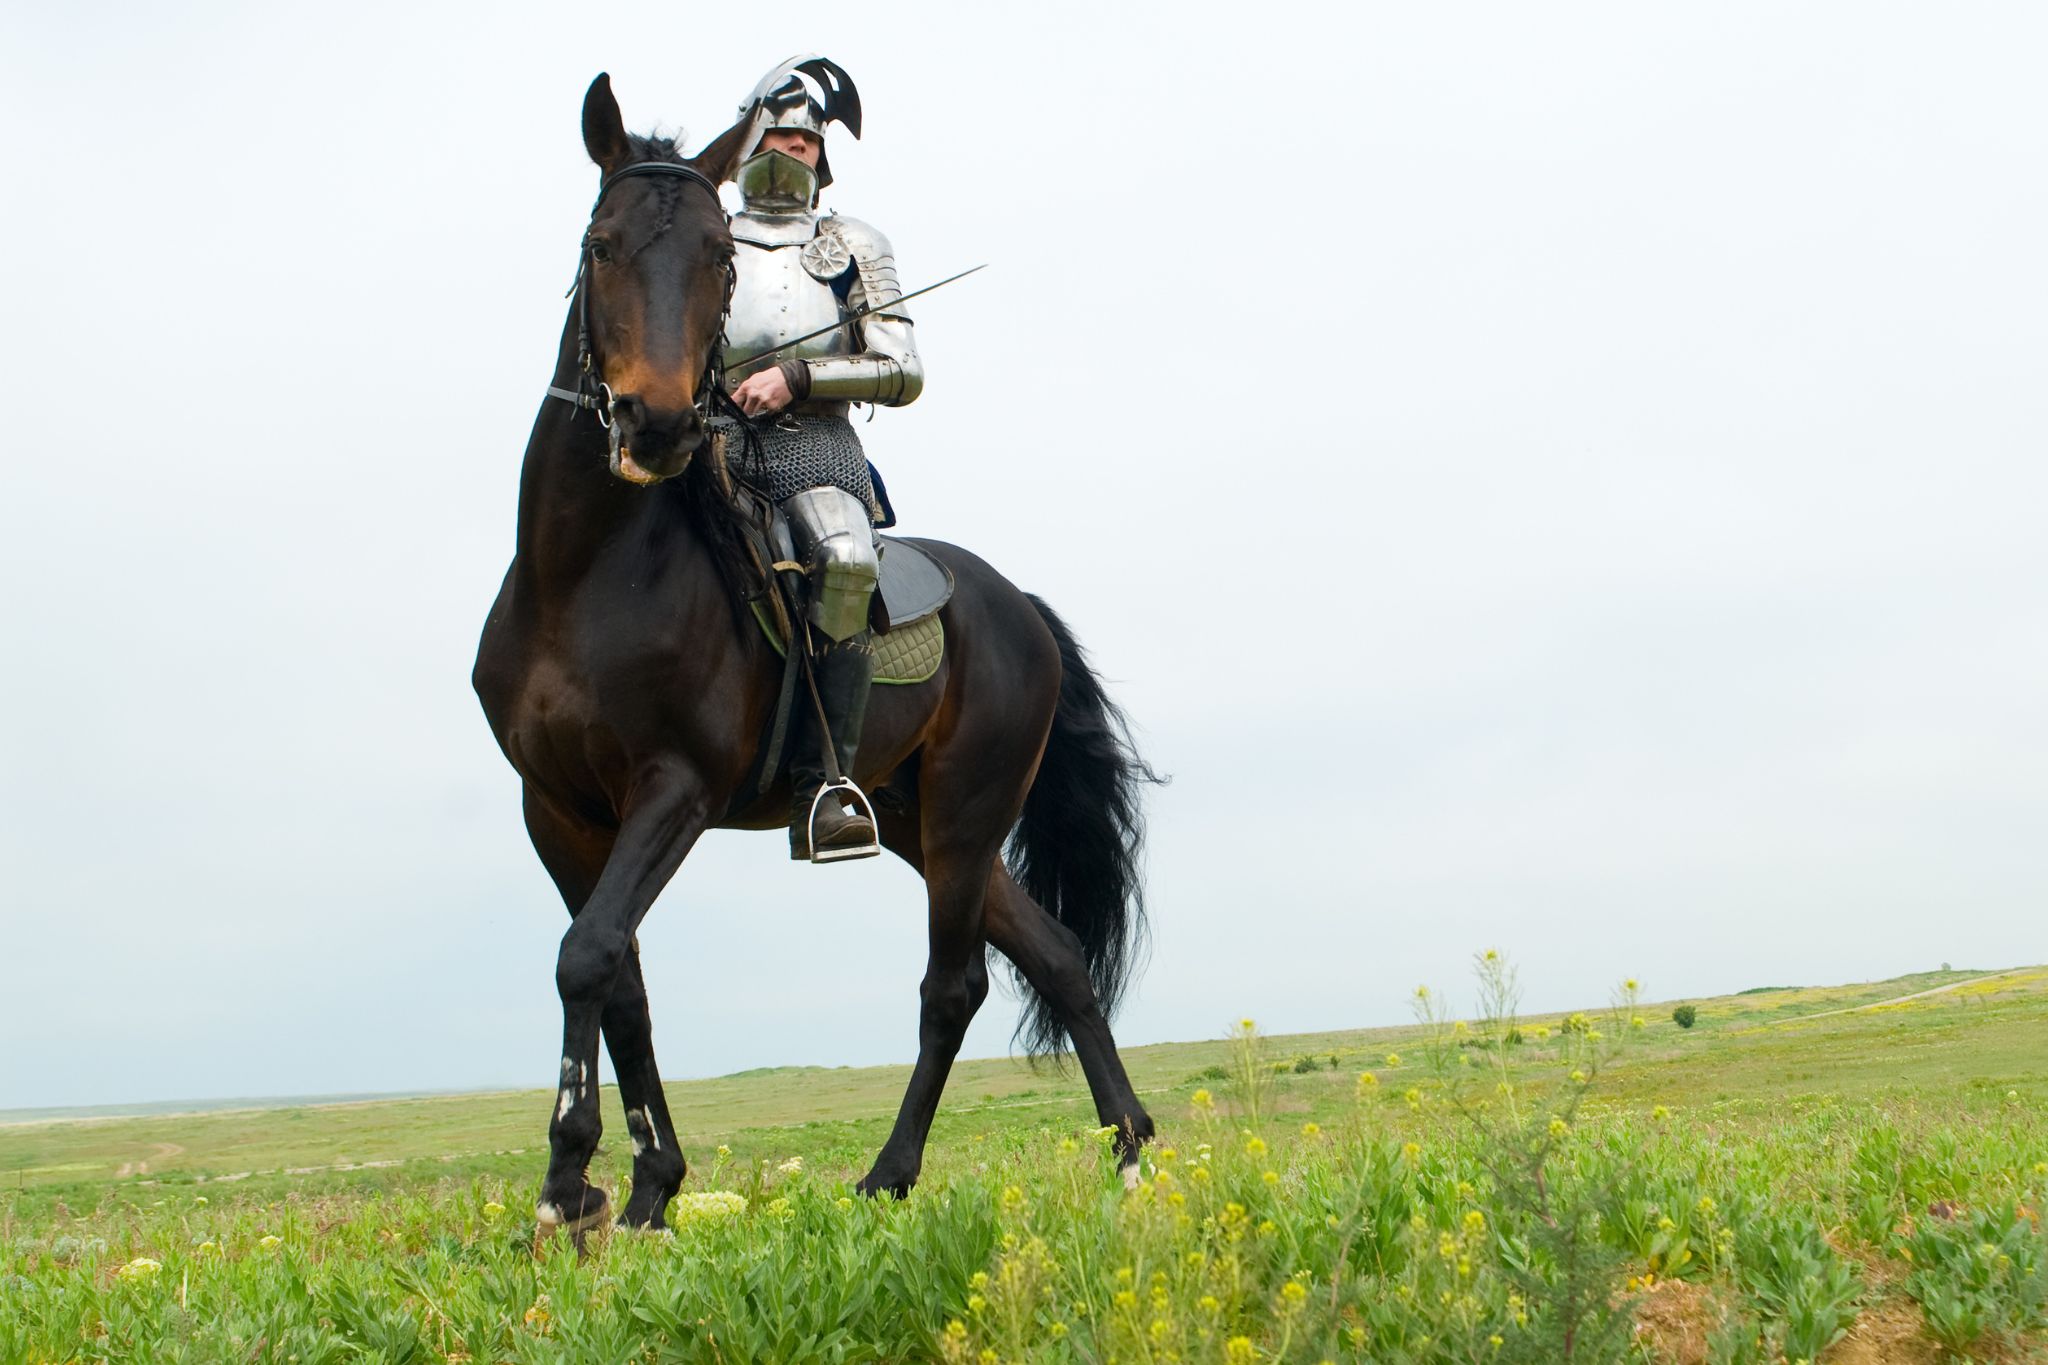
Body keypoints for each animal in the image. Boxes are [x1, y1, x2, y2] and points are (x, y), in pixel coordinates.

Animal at [472, 74, 1160, 1236]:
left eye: (719, 258)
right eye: (602, 243)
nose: (660, 424)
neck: (586, 574)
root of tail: (1013, 604)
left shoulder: (674, 791)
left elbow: (588, 956)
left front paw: (568, 1189)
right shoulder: (557, 807)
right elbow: (620, 984)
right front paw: (648, 1190)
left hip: (967, 813)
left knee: (956, 987)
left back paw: (890, 1173)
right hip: (923, 822)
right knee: (1058, 959)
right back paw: (1130, 1155)